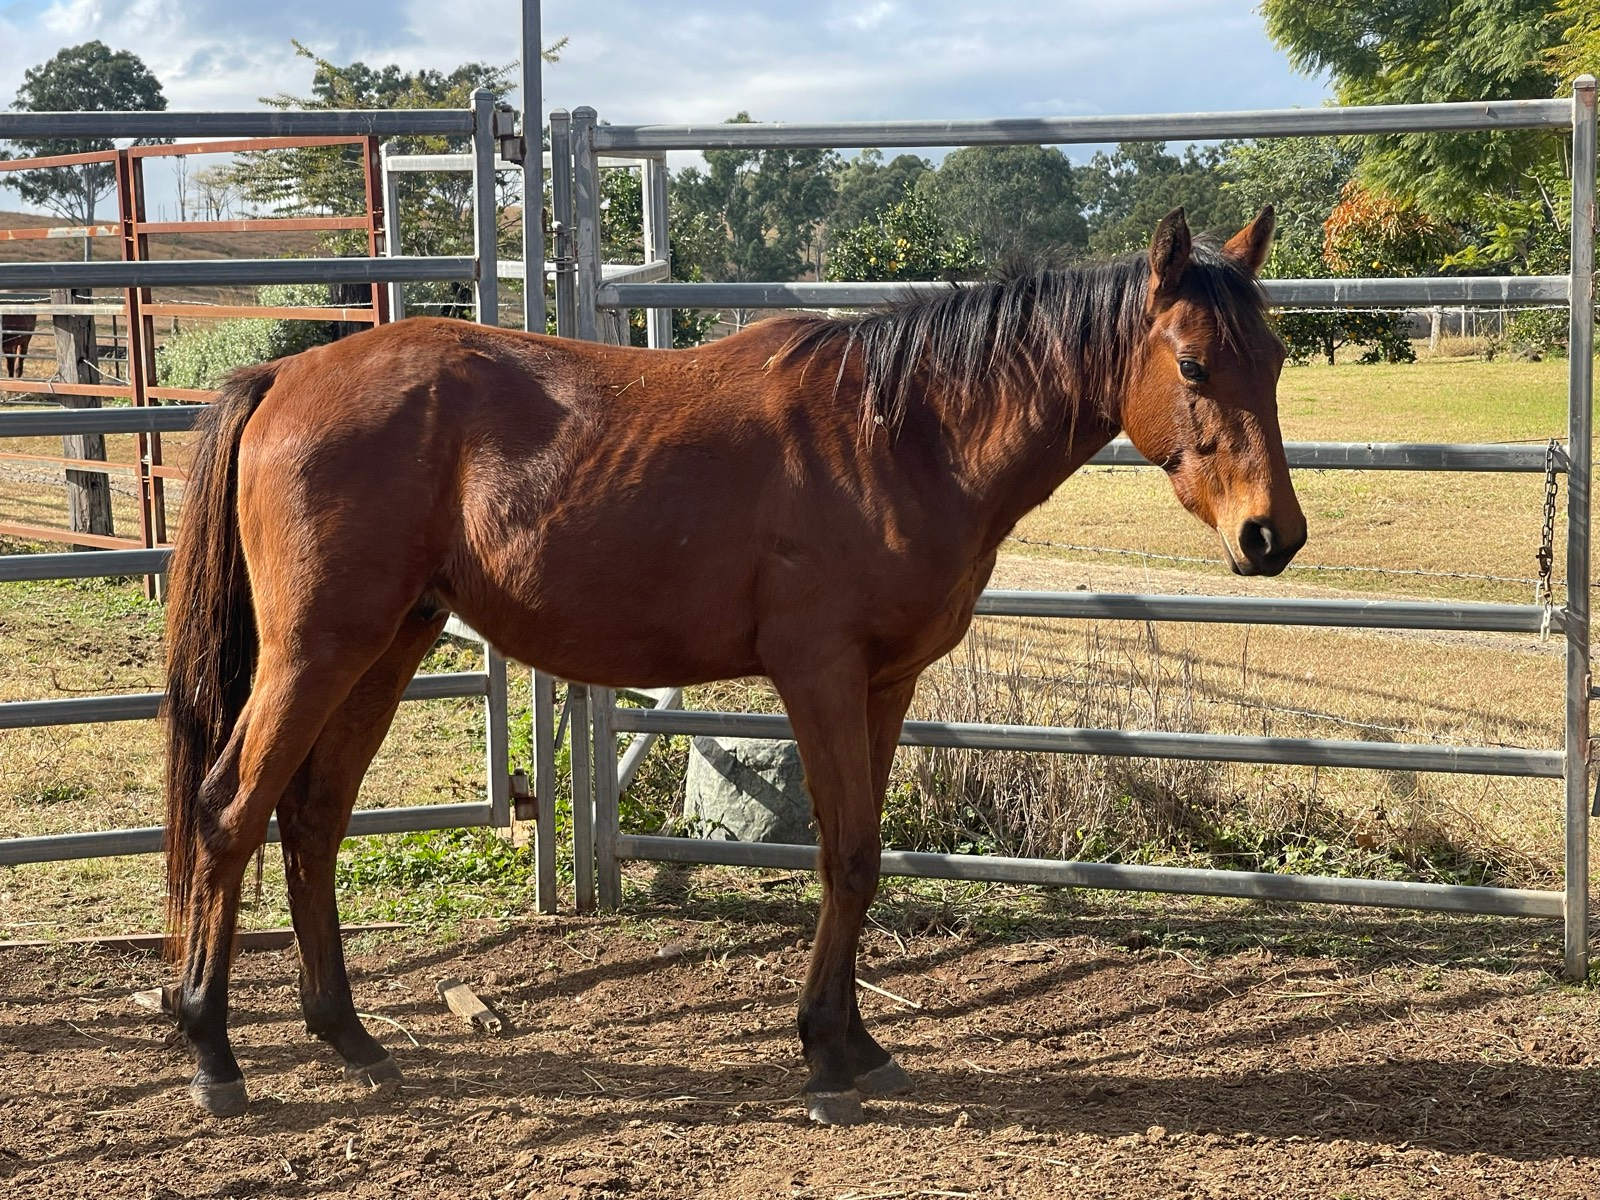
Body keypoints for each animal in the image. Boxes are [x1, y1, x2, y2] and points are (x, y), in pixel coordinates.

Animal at [161, 206, 1303, 1122]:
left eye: (1280, 357)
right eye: (1193, 365)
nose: (1271, 537)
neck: (902, 434)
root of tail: (284, 376)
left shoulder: (885, 685)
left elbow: (863, 857)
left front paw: (856, 1042)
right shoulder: (820, 677)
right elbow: (845, 857)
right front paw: (824, 1058)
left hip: (386, 647)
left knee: (311, 821)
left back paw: (348, 1036)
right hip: (316, 653)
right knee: (227, 813)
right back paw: (212, 1053)